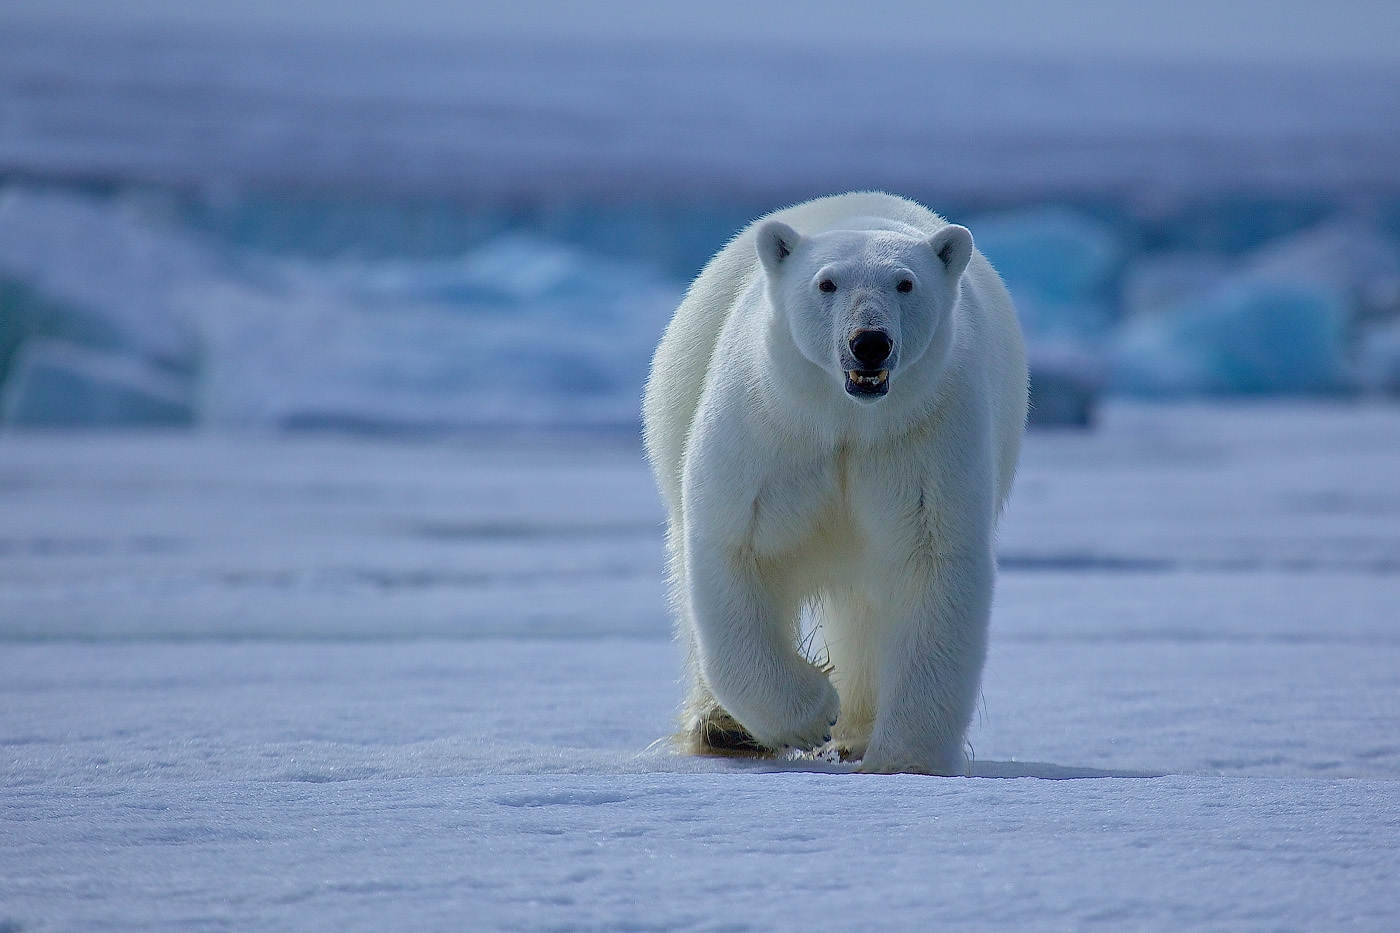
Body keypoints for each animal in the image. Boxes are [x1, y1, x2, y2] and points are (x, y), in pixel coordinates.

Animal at [642, 192, 1027, 775]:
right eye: (827, 283)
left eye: (905, 283)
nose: (869, 342)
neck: (848, 420)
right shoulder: (772, 428)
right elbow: (736, 545)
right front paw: (809, 713)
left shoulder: (925, 436)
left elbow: (932, 562)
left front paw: (905, 758)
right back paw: (725, 728)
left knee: (866, 613)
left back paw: (855, 737)